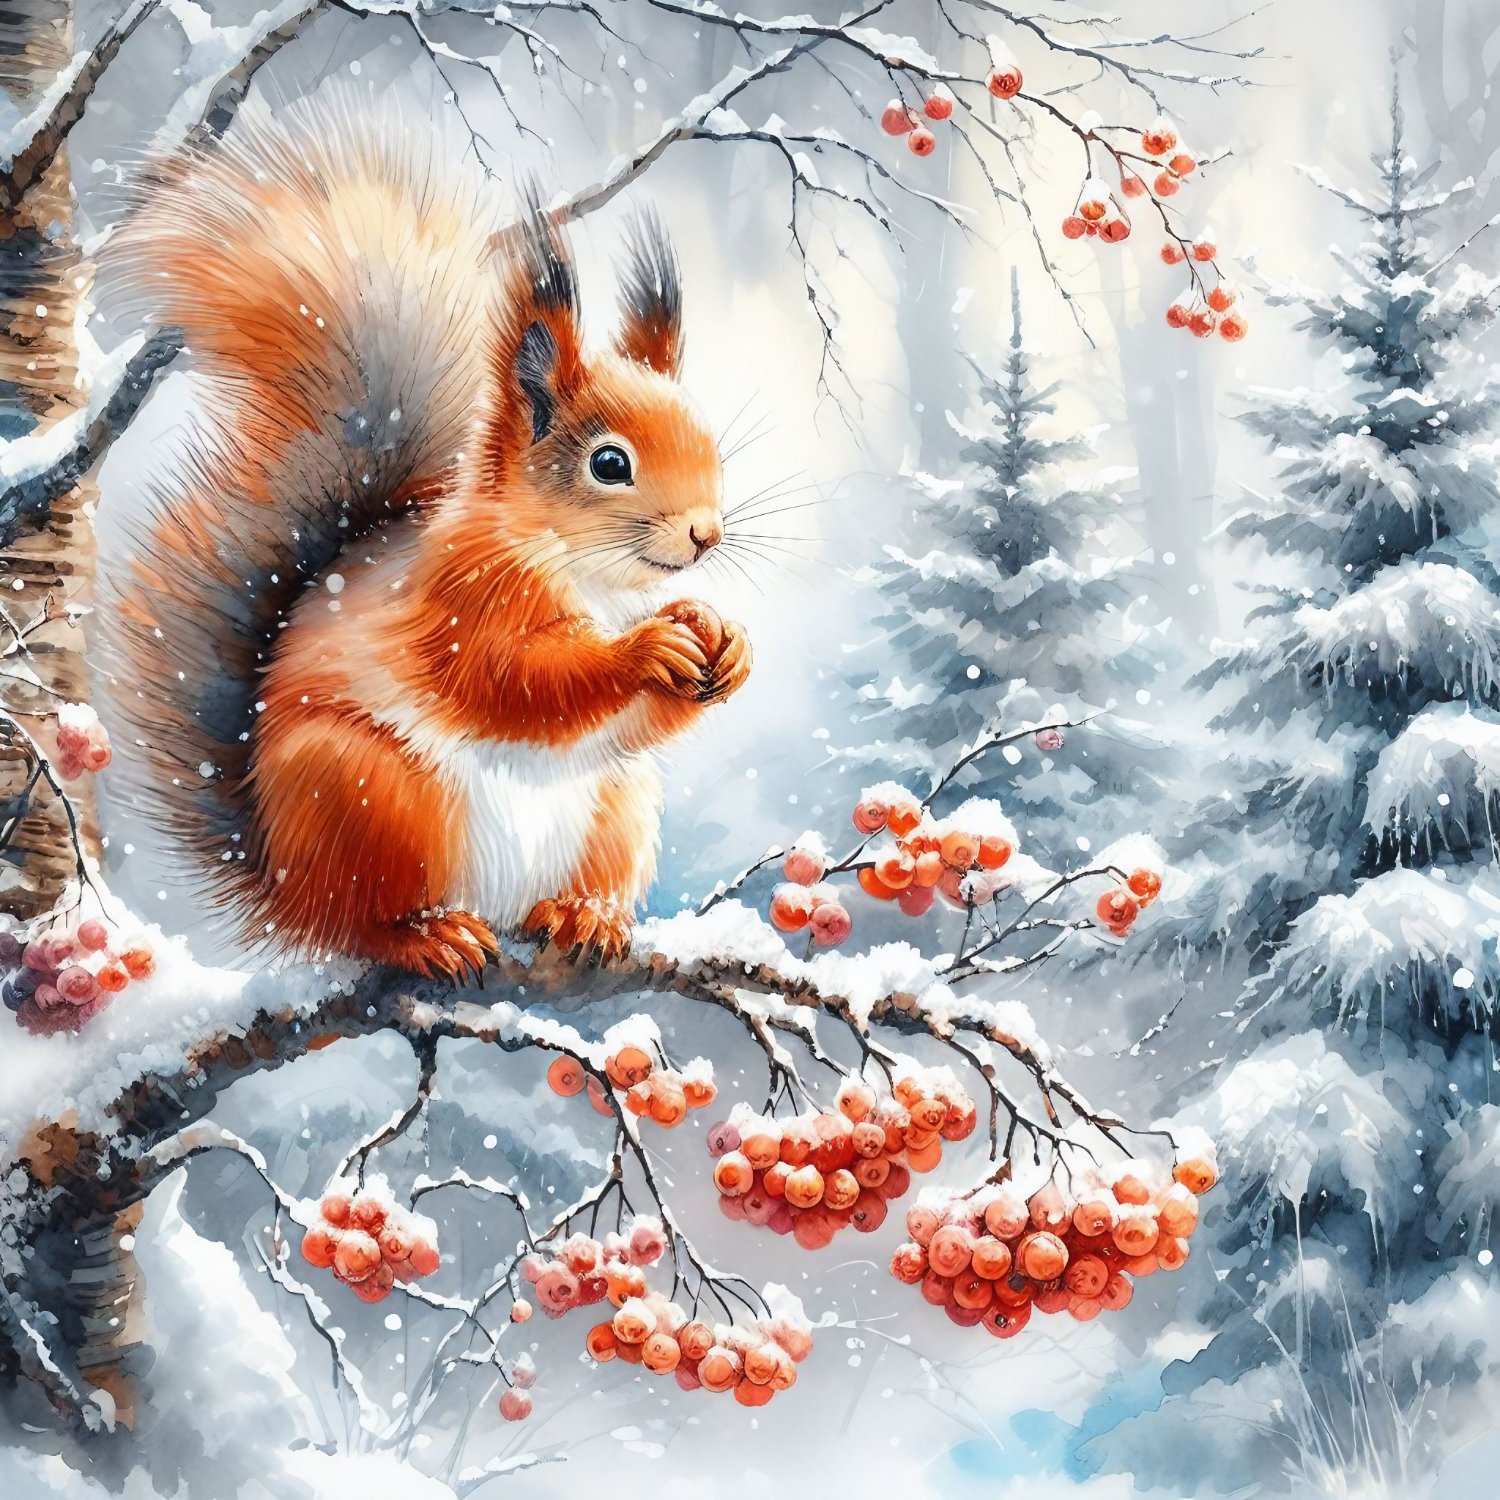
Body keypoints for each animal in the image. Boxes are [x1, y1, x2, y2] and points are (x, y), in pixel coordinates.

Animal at [105, 100, 751, 977]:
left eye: (709, 441)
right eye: (609, 463)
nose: (705, 534)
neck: (589, 575)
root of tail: (280, 883)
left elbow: (634, 722)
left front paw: (722, 639)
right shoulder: (458, 598)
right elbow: (512, 682)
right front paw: (643, 650)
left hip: (618, 806)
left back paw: (582, 915)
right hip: (370, 794)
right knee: (352, 923)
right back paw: (422, 935)